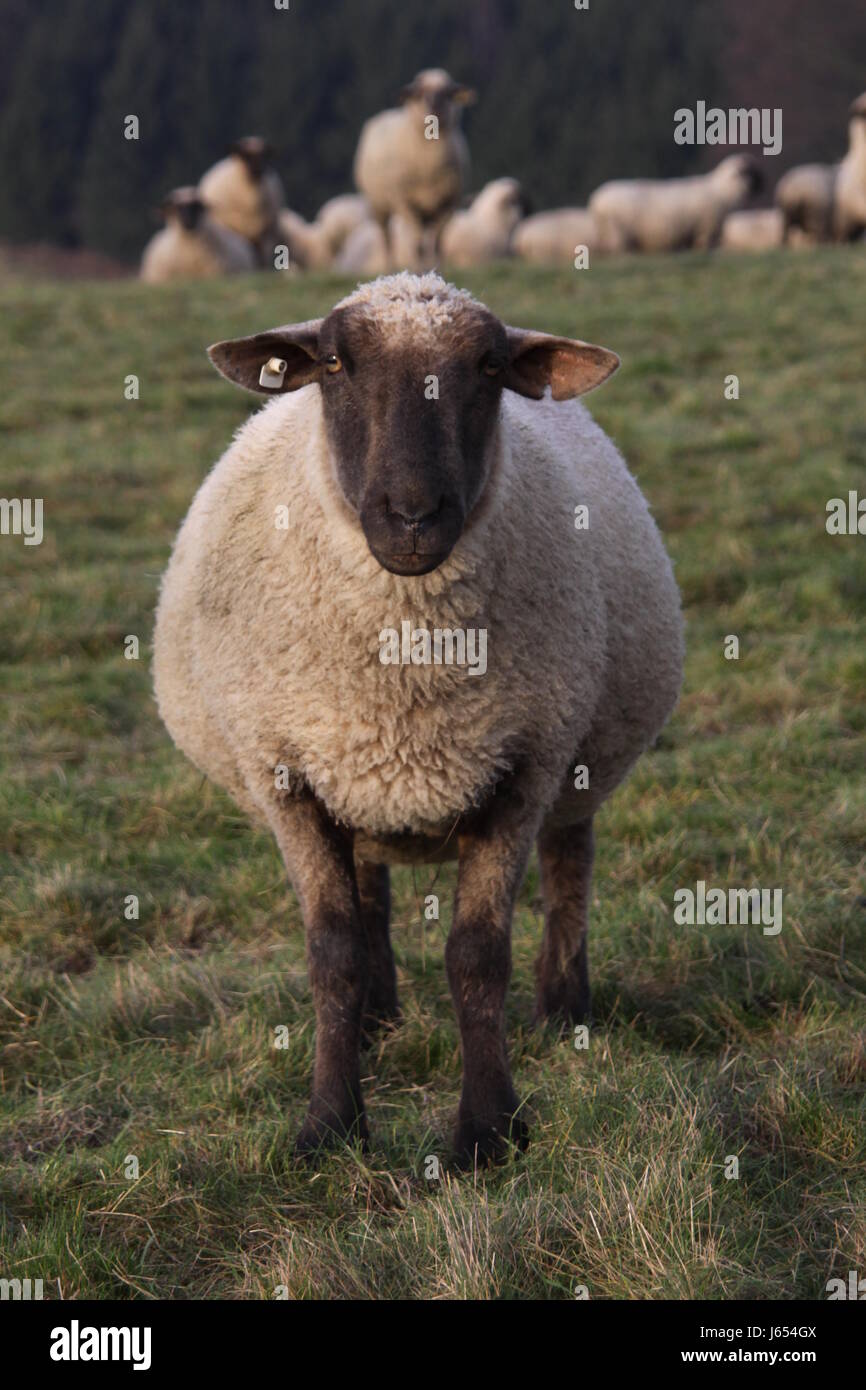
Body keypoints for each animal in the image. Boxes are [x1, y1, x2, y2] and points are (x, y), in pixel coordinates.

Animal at [153, 271, 683, 1166]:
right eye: (334, 363)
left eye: (489, 366)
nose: (411, 515)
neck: (404, 667)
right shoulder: (286, 774)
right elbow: (331, 952)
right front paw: (331, 1127)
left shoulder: (523, 767)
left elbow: (478, 956)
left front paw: (489, 1130)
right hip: (348, 774)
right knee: (368, 888)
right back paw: (376, 1019)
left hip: (578, 757)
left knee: (570, 862)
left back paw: (563, 1010)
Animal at [354, 69, 475, 269]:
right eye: (419, 93)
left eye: (448, 93)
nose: (433, 106)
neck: (429, 165)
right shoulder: (405, 202)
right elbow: (417, 245)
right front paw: (418, 269)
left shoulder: (449, 203)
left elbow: (438, 242)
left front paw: (437, 267)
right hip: (379, 204)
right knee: (387, 238)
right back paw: (390, 265)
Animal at [589, 154, 763, 253]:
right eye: (750, 173)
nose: (760, 188)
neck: (722, 191)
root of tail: (596, 200)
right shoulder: (706, 230)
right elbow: (704, 248)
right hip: (616, 233)